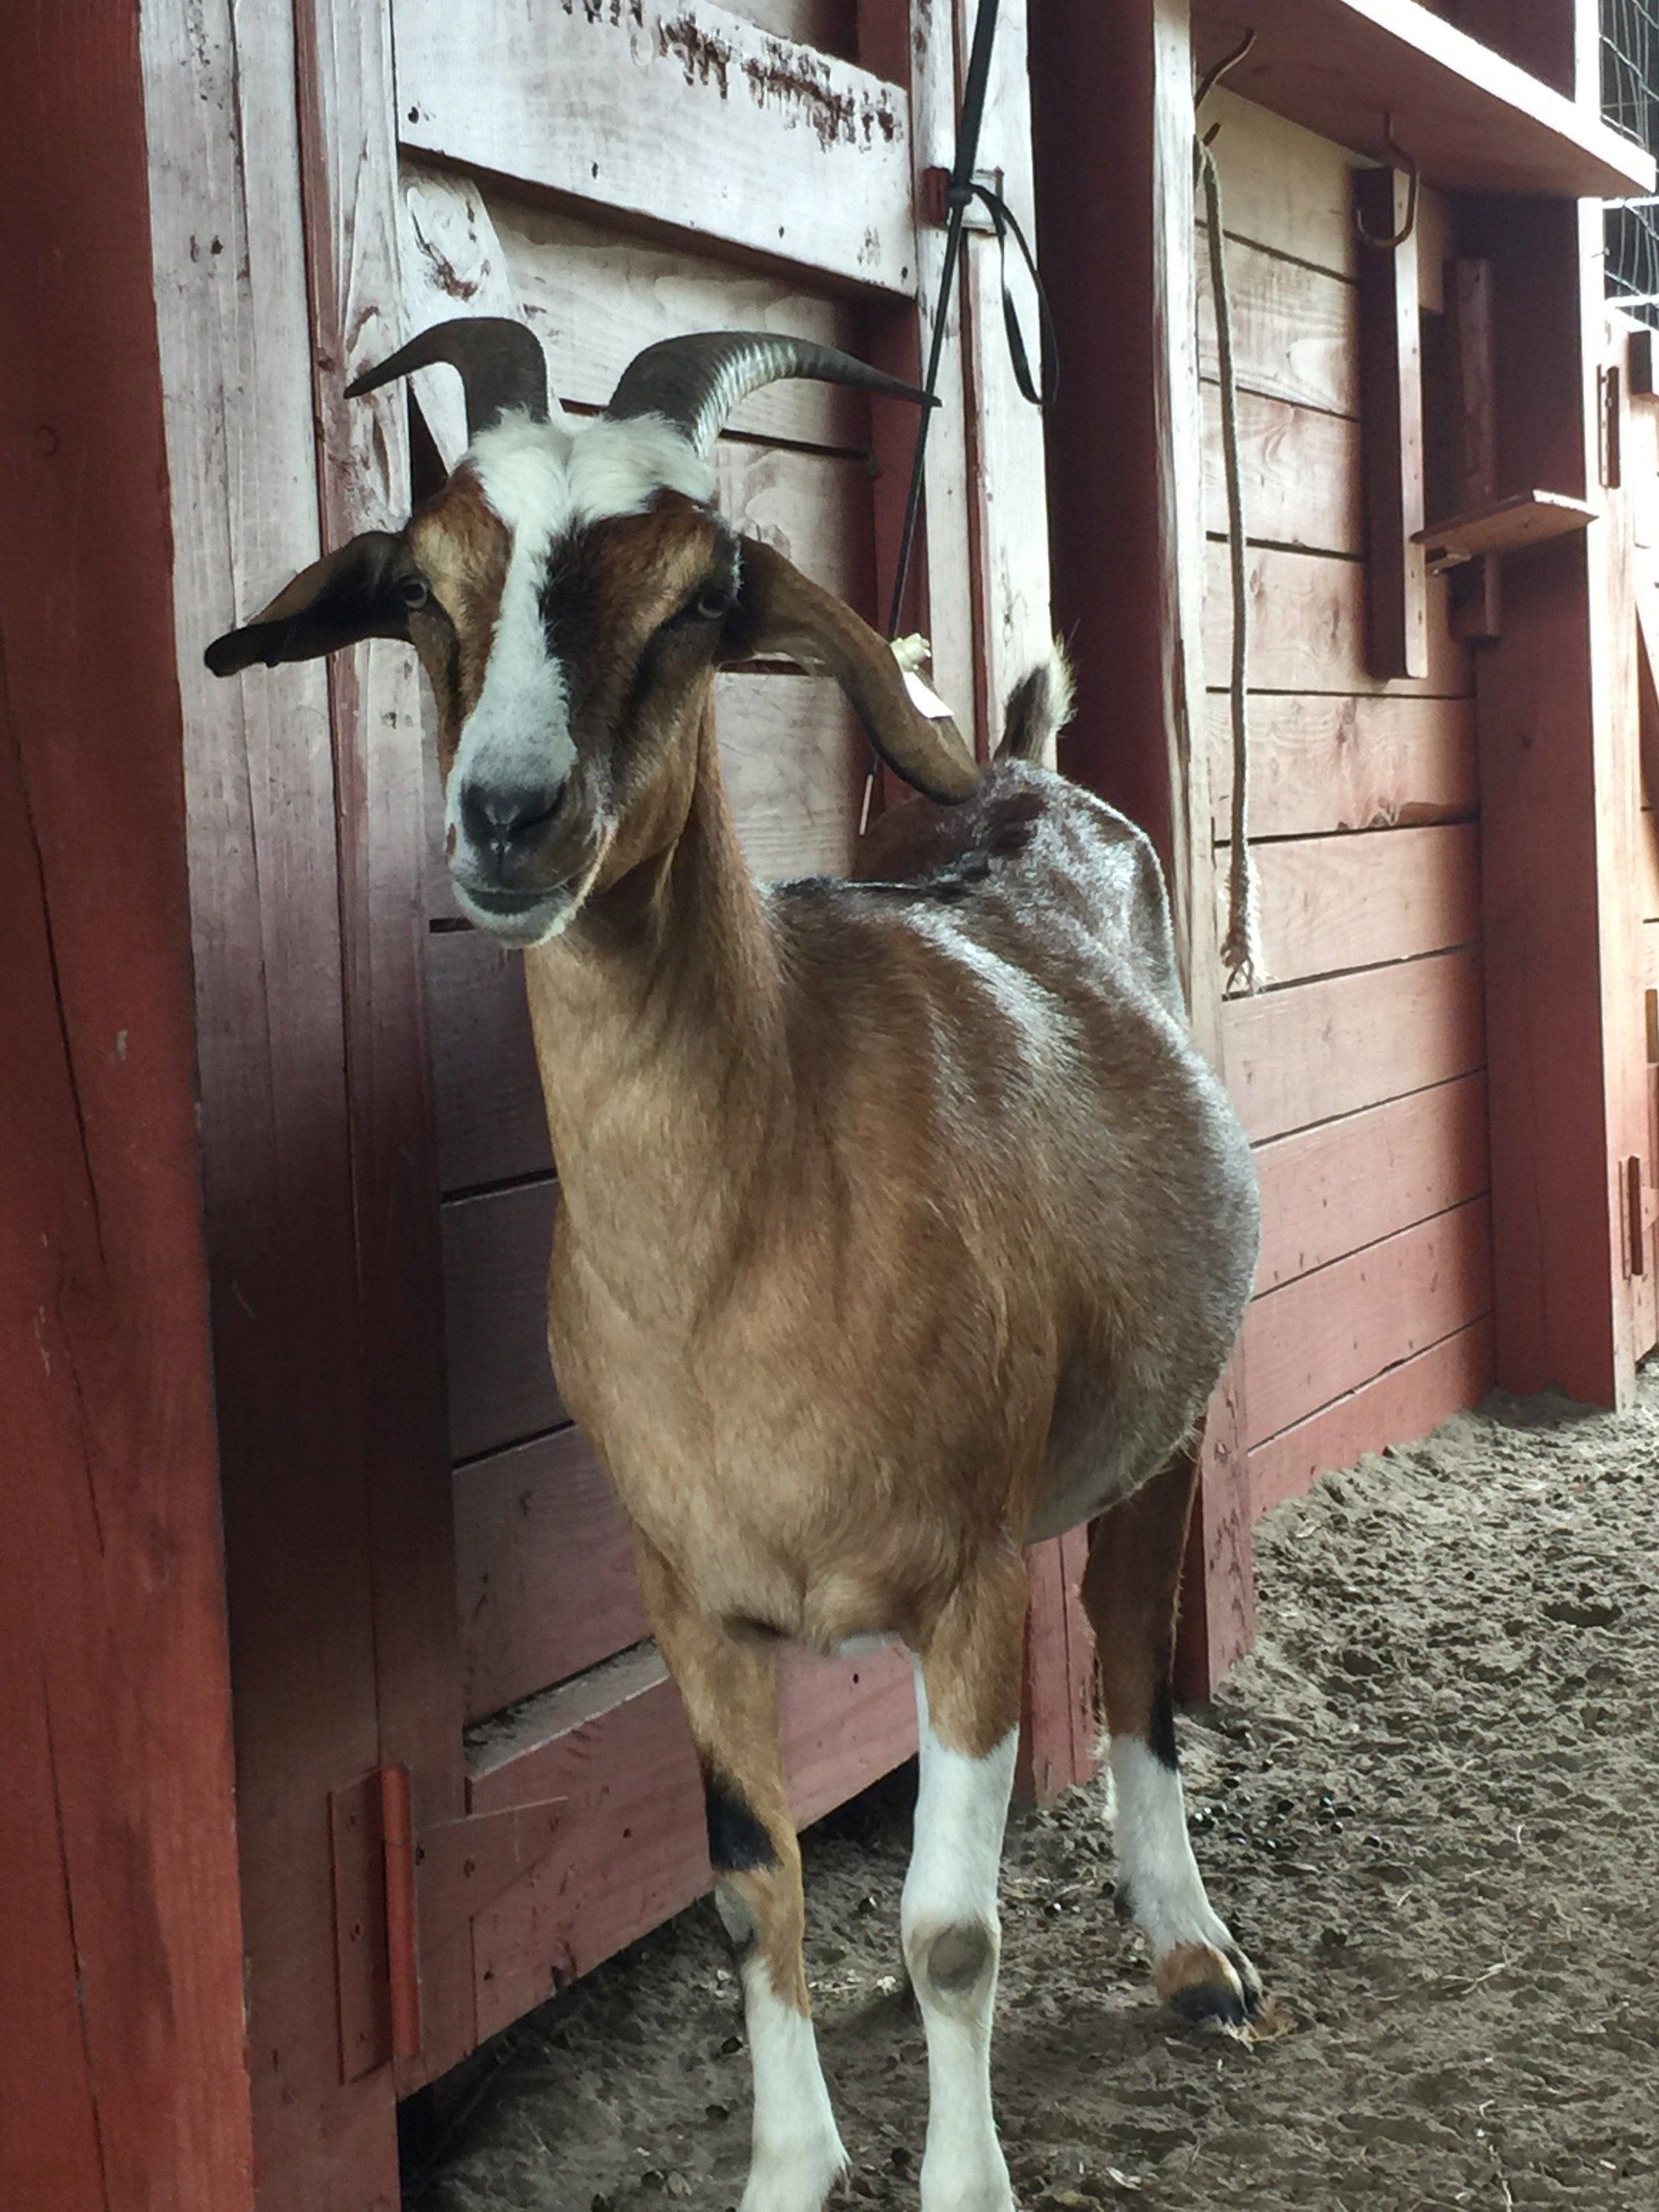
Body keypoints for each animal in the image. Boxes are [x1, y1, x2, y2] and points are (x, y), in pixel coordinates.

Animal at [208, 319, 1262, 2212]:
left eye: (706, 593)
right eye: (417, 583)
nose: (509, 817)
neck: (764, 1218)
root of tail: (1029, 770)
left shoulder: (963, 1583)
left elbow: (949, 1928)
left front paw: (966, 2183)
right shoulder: (685, 1594)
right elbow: (746, 1887)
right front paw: (787, 2165)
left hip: (1167, 1418)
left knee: (1136, 1660)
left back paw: (1195, 1951)